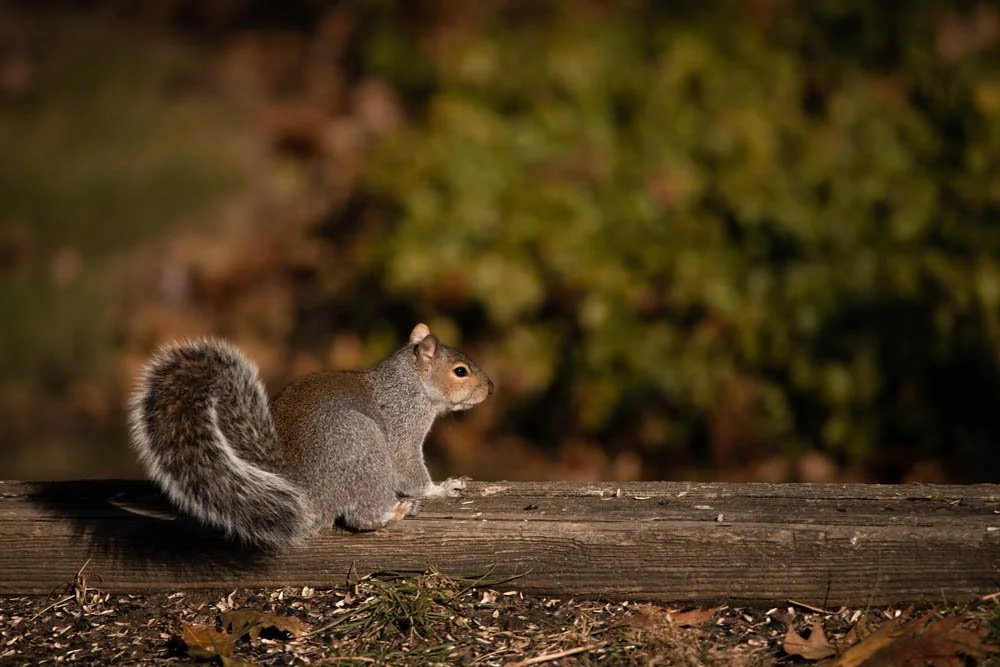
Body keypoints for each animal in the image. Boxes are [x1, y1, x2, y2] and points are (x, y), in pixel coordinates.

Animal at [128, 323, 493, 549]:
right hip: (364, 448)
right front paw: (441, 489)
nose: (490, 389)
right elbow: (409, 471)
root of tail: (301, 490)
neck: (410, 383)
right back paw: (393, 512)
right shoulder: (403, 426)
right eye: (460, 371)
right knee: (361, 517)